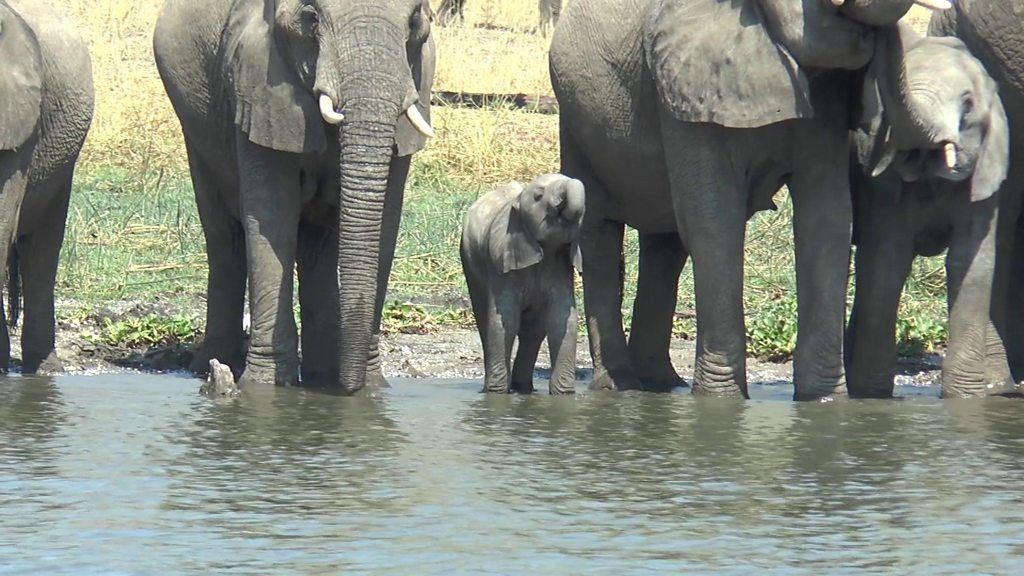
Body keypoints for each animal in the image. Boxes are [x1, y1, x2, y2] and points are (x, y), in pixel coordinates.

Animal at [154, 0, 436, 393]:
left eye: (415, 21)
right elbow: (272, 218)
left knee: (316, 247)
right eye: (311, 18)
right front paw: (265, 389)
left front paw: (370, 390)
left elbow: (385, 223)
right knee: (224, 237)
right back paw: (212, 365)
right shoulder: (256, 83)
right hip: (195, 129)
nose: (351, 389)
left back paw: (321, 376)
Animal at [460, 174, 585, 394]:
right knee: (485, 320)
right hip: (470, 262)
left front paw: (564, 395)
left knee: (533, 330)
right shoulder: (501, 261)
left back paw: (523, 388)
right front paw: (496, 394)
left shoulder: (561, 266)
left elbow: (562, 318)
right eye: (538, 196)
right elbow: (505, 321)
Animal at [549, 0, 954, 400]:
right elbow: (714, 223)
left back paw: (662, 385)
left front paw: (823, 402)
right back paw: (622, 386)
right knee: (601, 239)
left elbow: (828, 220)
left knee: (665, 246)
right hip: (576, 126)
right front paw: (721, 402)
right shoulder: (689, 87)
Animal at [846, 25, 1014, 398]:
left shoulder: (984, 178)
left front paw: (964, 399)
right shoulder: (883, 186)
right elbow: (886, 258)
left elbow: (971, 262)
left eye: (968, 105)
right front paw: (871, 396)